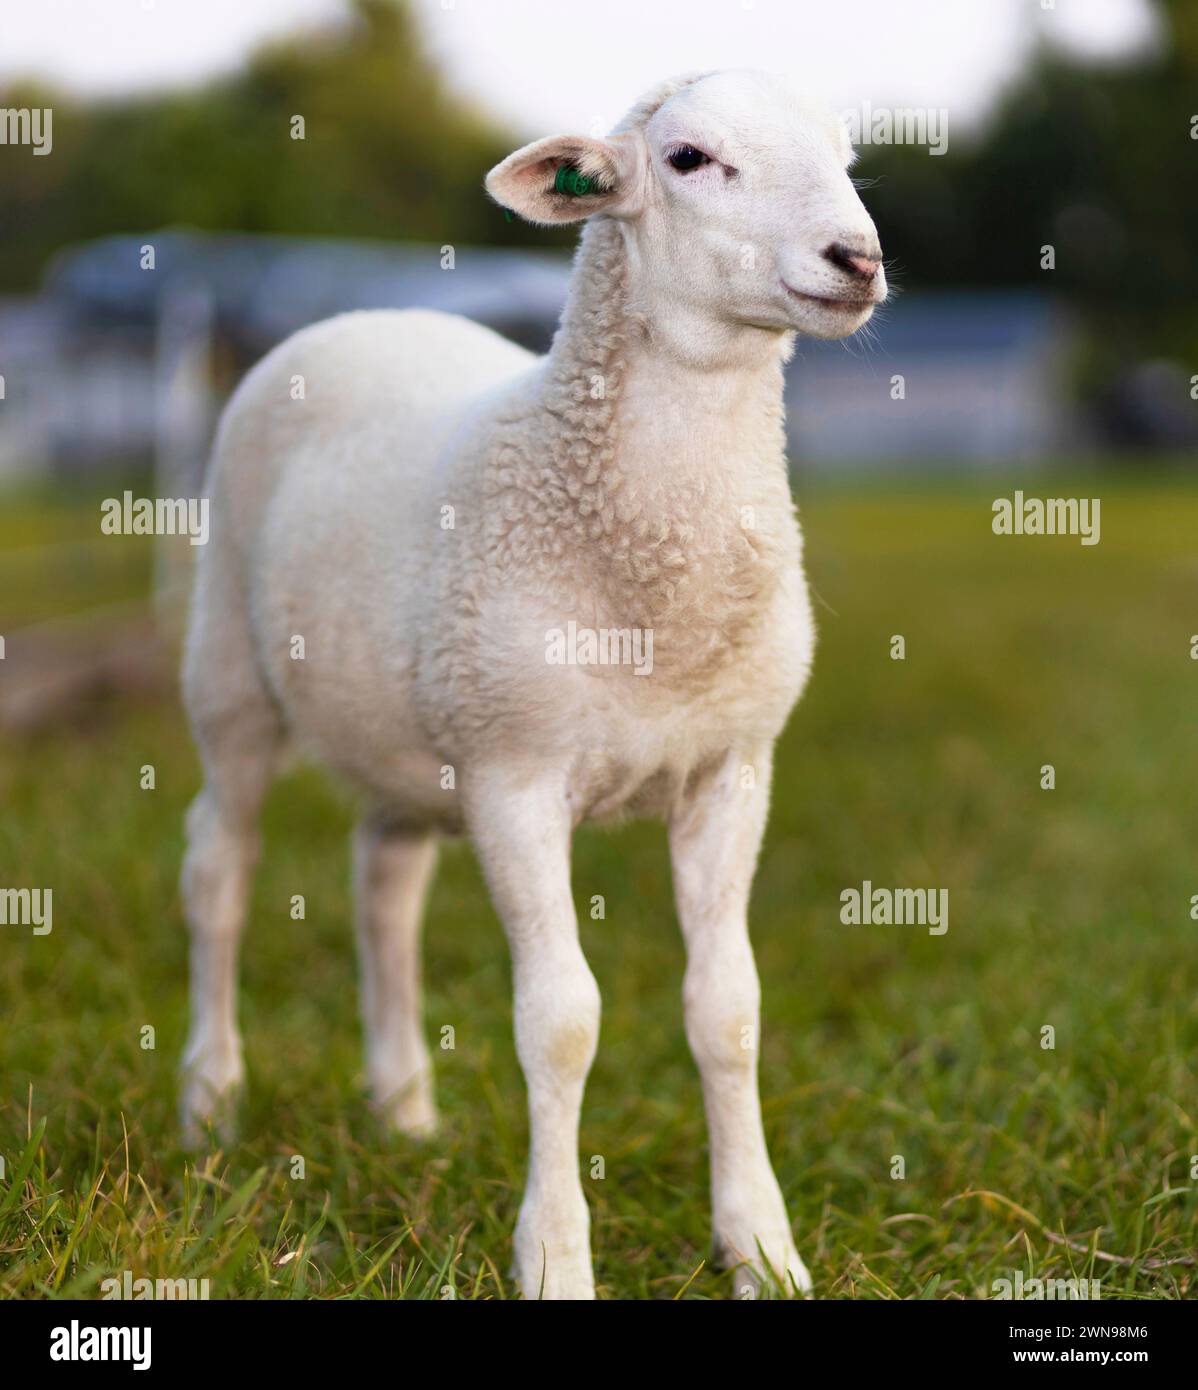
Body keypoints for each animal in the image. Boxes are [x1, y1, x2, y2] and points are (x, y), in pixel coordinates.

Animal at [179, 68, 887, 1300]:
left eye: (846, 157)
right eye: (689, 158)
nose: (857, 256)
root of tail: (364, 315)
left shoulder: (732, 767)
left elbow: (729, 1010)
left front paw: (761, 1246)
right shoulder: (516, 773)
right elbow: (561, 1020)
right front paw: (555, 1254)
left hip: (413, 726)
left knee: (383, 883)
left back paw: (403, 1109)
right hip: (231, 671)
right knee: (220, 868)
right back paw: (211, 1101)